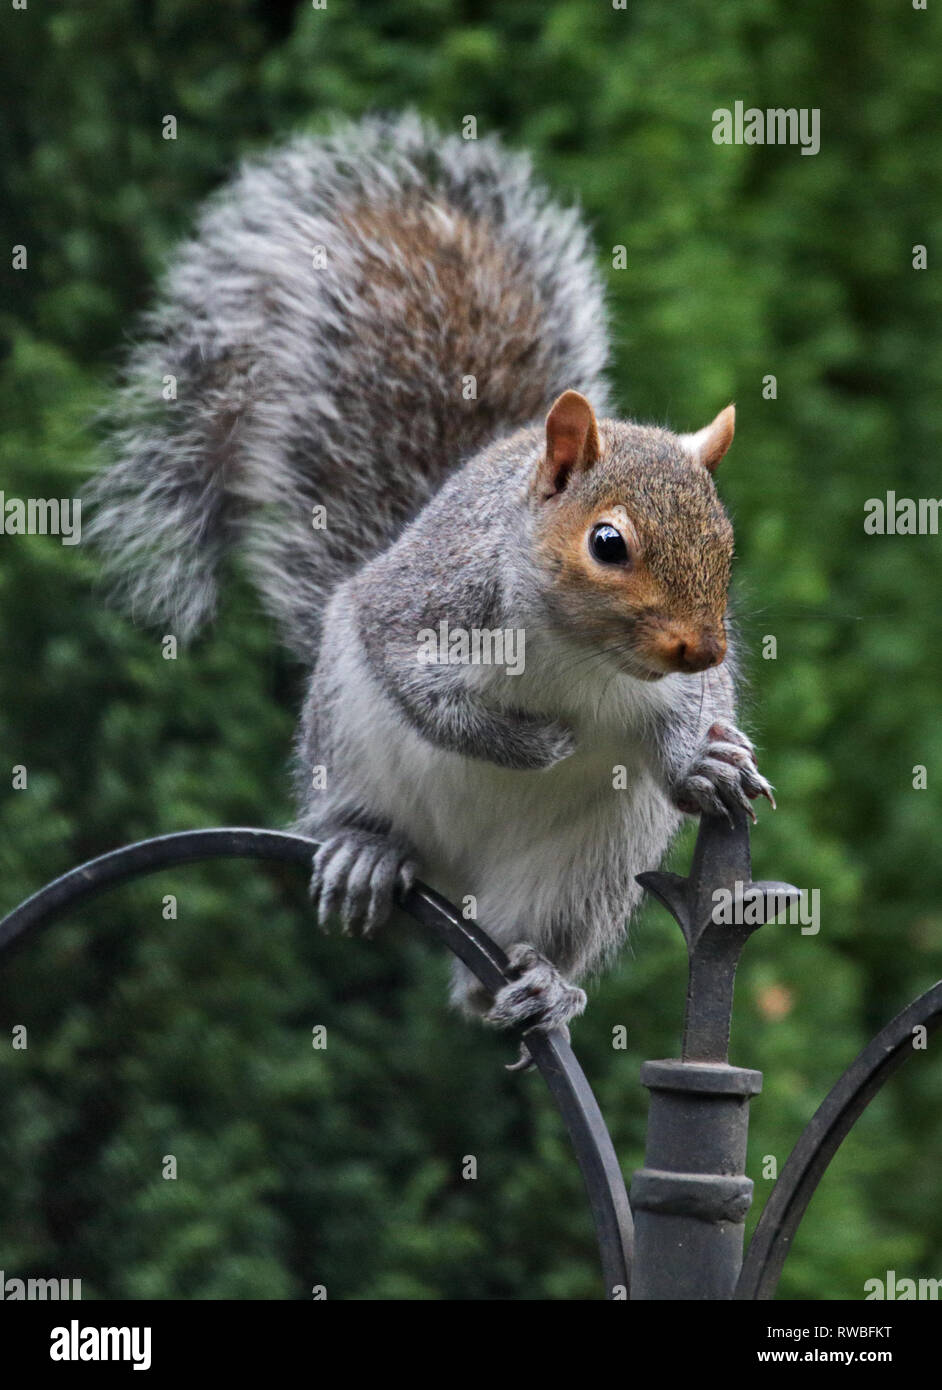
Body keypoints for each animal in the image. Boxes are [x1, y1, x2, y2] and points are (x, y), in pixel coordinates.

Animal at [87, 113, 774, 1054]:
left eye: (726, 544)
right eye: (607, 543)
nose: (701, 644)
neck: (579, 653)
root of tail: (458, 876)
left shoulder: (676, 685)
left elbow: (690, 712)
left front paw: (704, 765)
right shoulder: (421, 607)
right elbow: (427, 696)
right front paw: (531, 744)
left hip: (583, 871)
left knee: (519, 954)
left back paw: (539, 984)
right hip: (345, 736)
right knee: (365, 810)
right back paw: (366, 851)